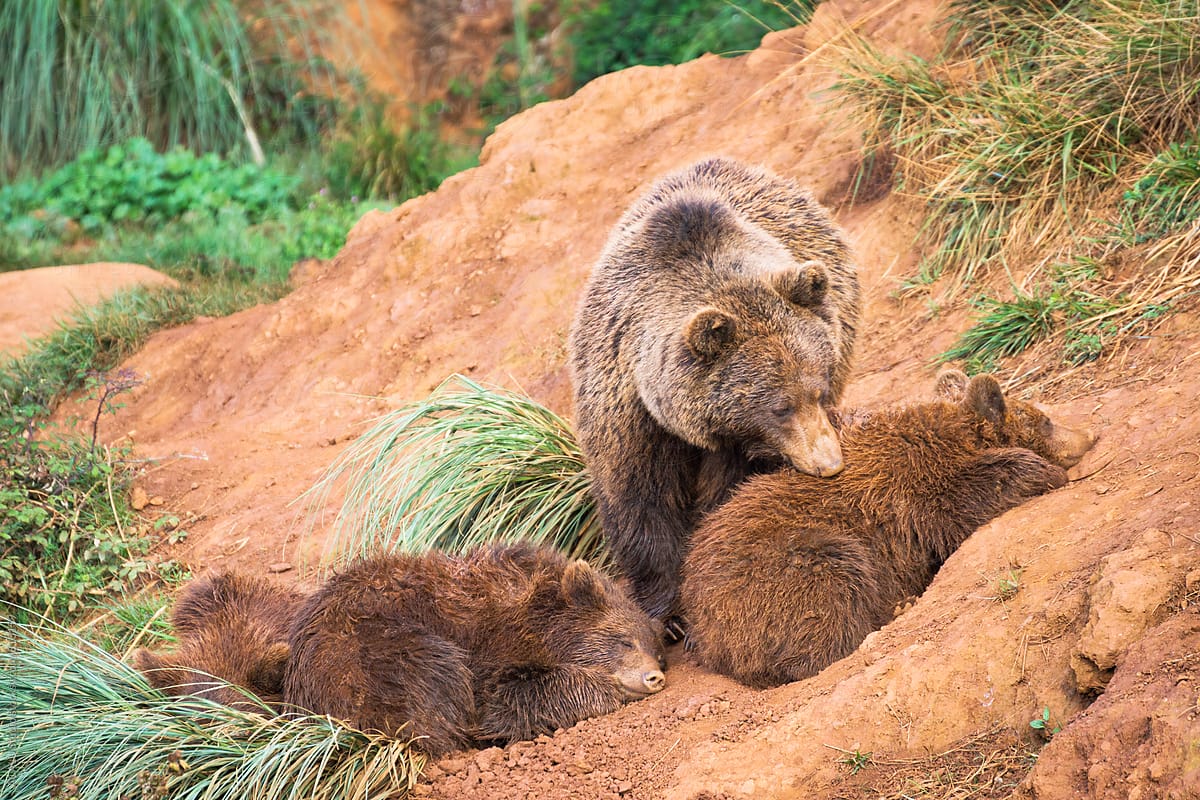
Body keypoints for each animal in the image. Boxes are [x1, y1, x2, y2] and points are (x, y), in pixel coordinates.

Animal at [283, 542, 666, 756]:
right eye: (624, 640)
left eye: (658, 650)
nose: (654, 677)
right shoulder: (485, 642)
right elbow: (503, 700)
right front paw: (606, 687)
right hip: (369, 652)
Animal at [569, 156, 862, 623]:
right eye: (780, 407)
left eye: (817, 390)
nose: (828, 462)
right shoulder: (629, 412)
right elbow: (640, 504)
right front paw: (666, 612)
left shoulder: (737, 446)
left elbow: (723, 497)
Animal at [680, 369, 1096, 688]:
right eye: (1044, 419)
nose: (1089, 435)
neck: (953, 436)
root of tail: (703, 630)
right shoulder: (912, 487)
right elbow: (963, 500)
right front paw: (1041, 470)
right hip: (781, 567)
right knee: (831, 582)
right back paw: (890, 612)